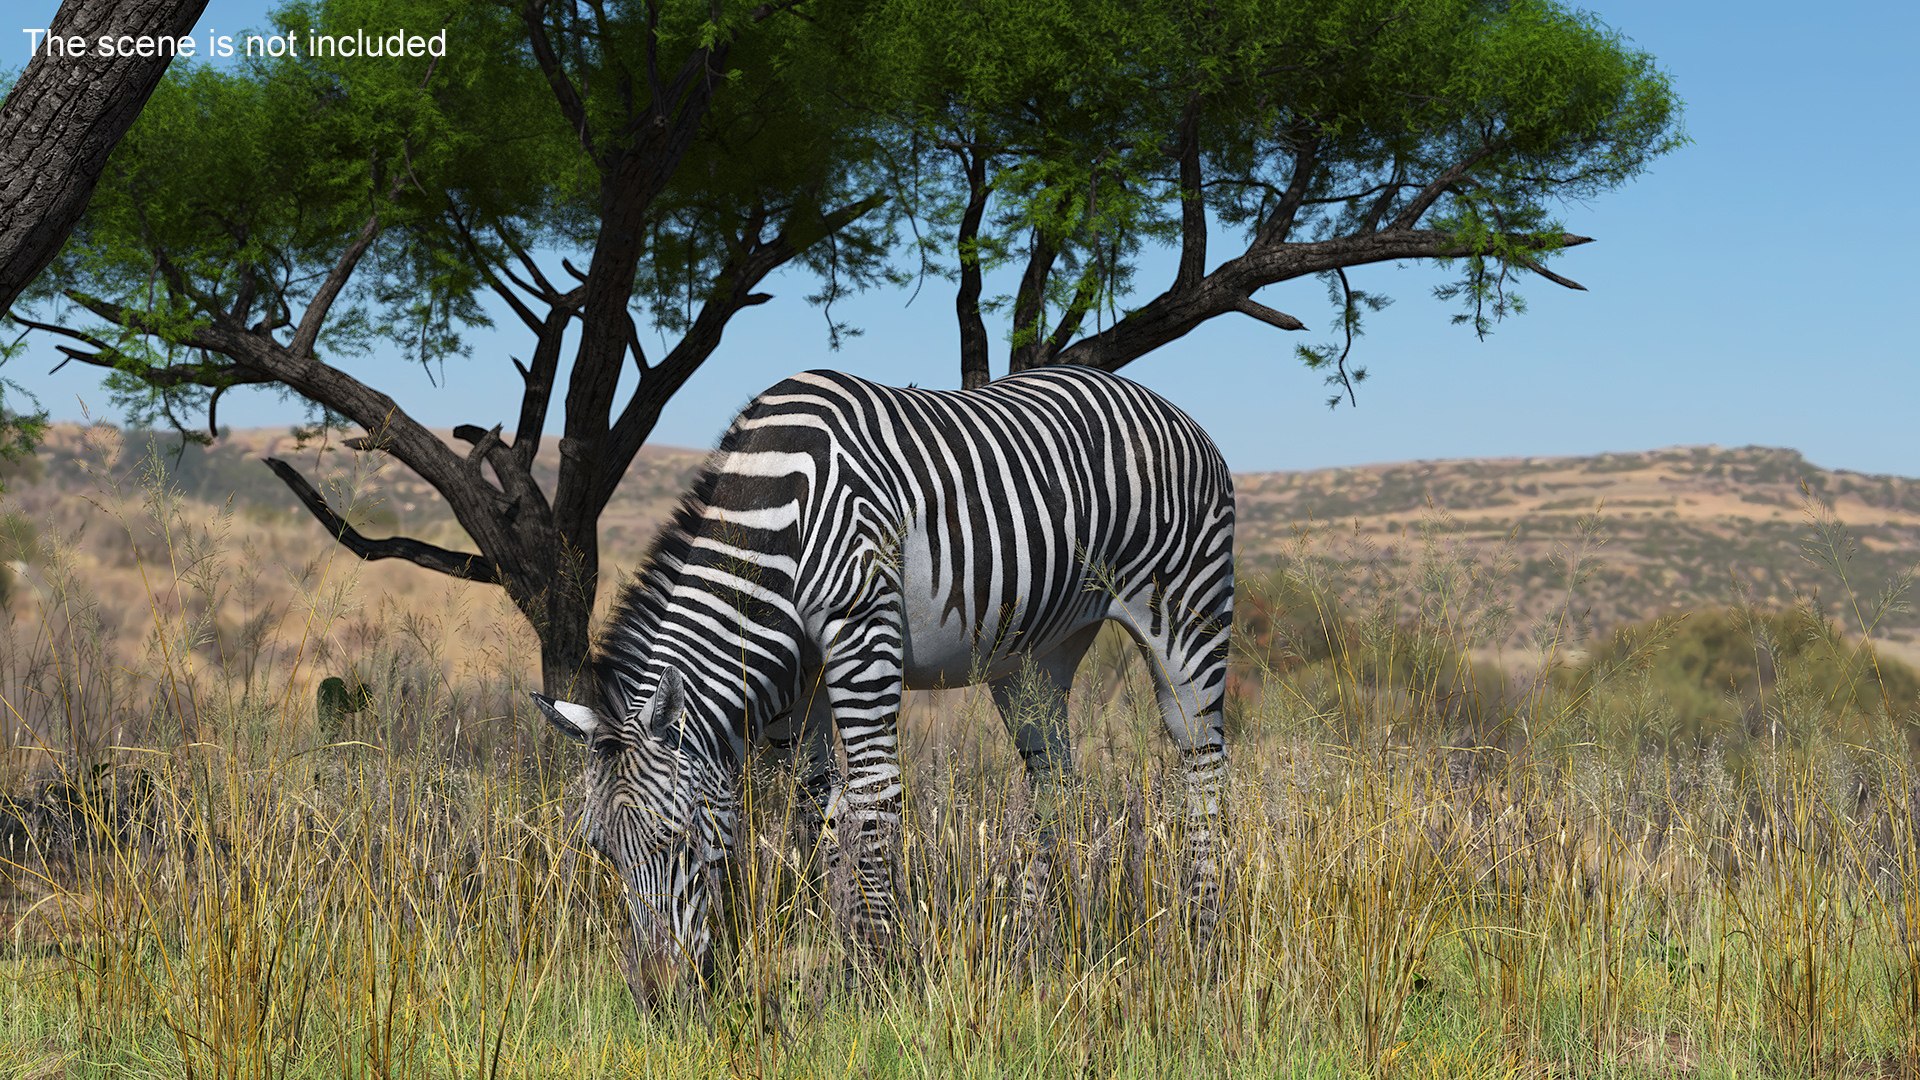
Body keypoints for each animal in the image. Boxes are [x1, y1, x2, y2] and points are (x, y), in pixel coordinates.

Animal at [533, 364, 1234, 1002]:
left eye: (675, 838)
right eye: (603, 852)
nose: (656, 996)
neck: (777, 518)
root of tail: (1172, 409)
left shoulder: (863, 639)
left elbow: (873, 800)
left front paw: (875, 970)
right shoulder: (797, 686)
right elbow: (818, 810)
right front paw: (824, 947)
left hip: (1186, 618)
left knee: (1205, 770)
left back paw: (1203, 945)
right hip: (1037, 659)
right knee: (1055, 783)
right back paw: (1030, 950)